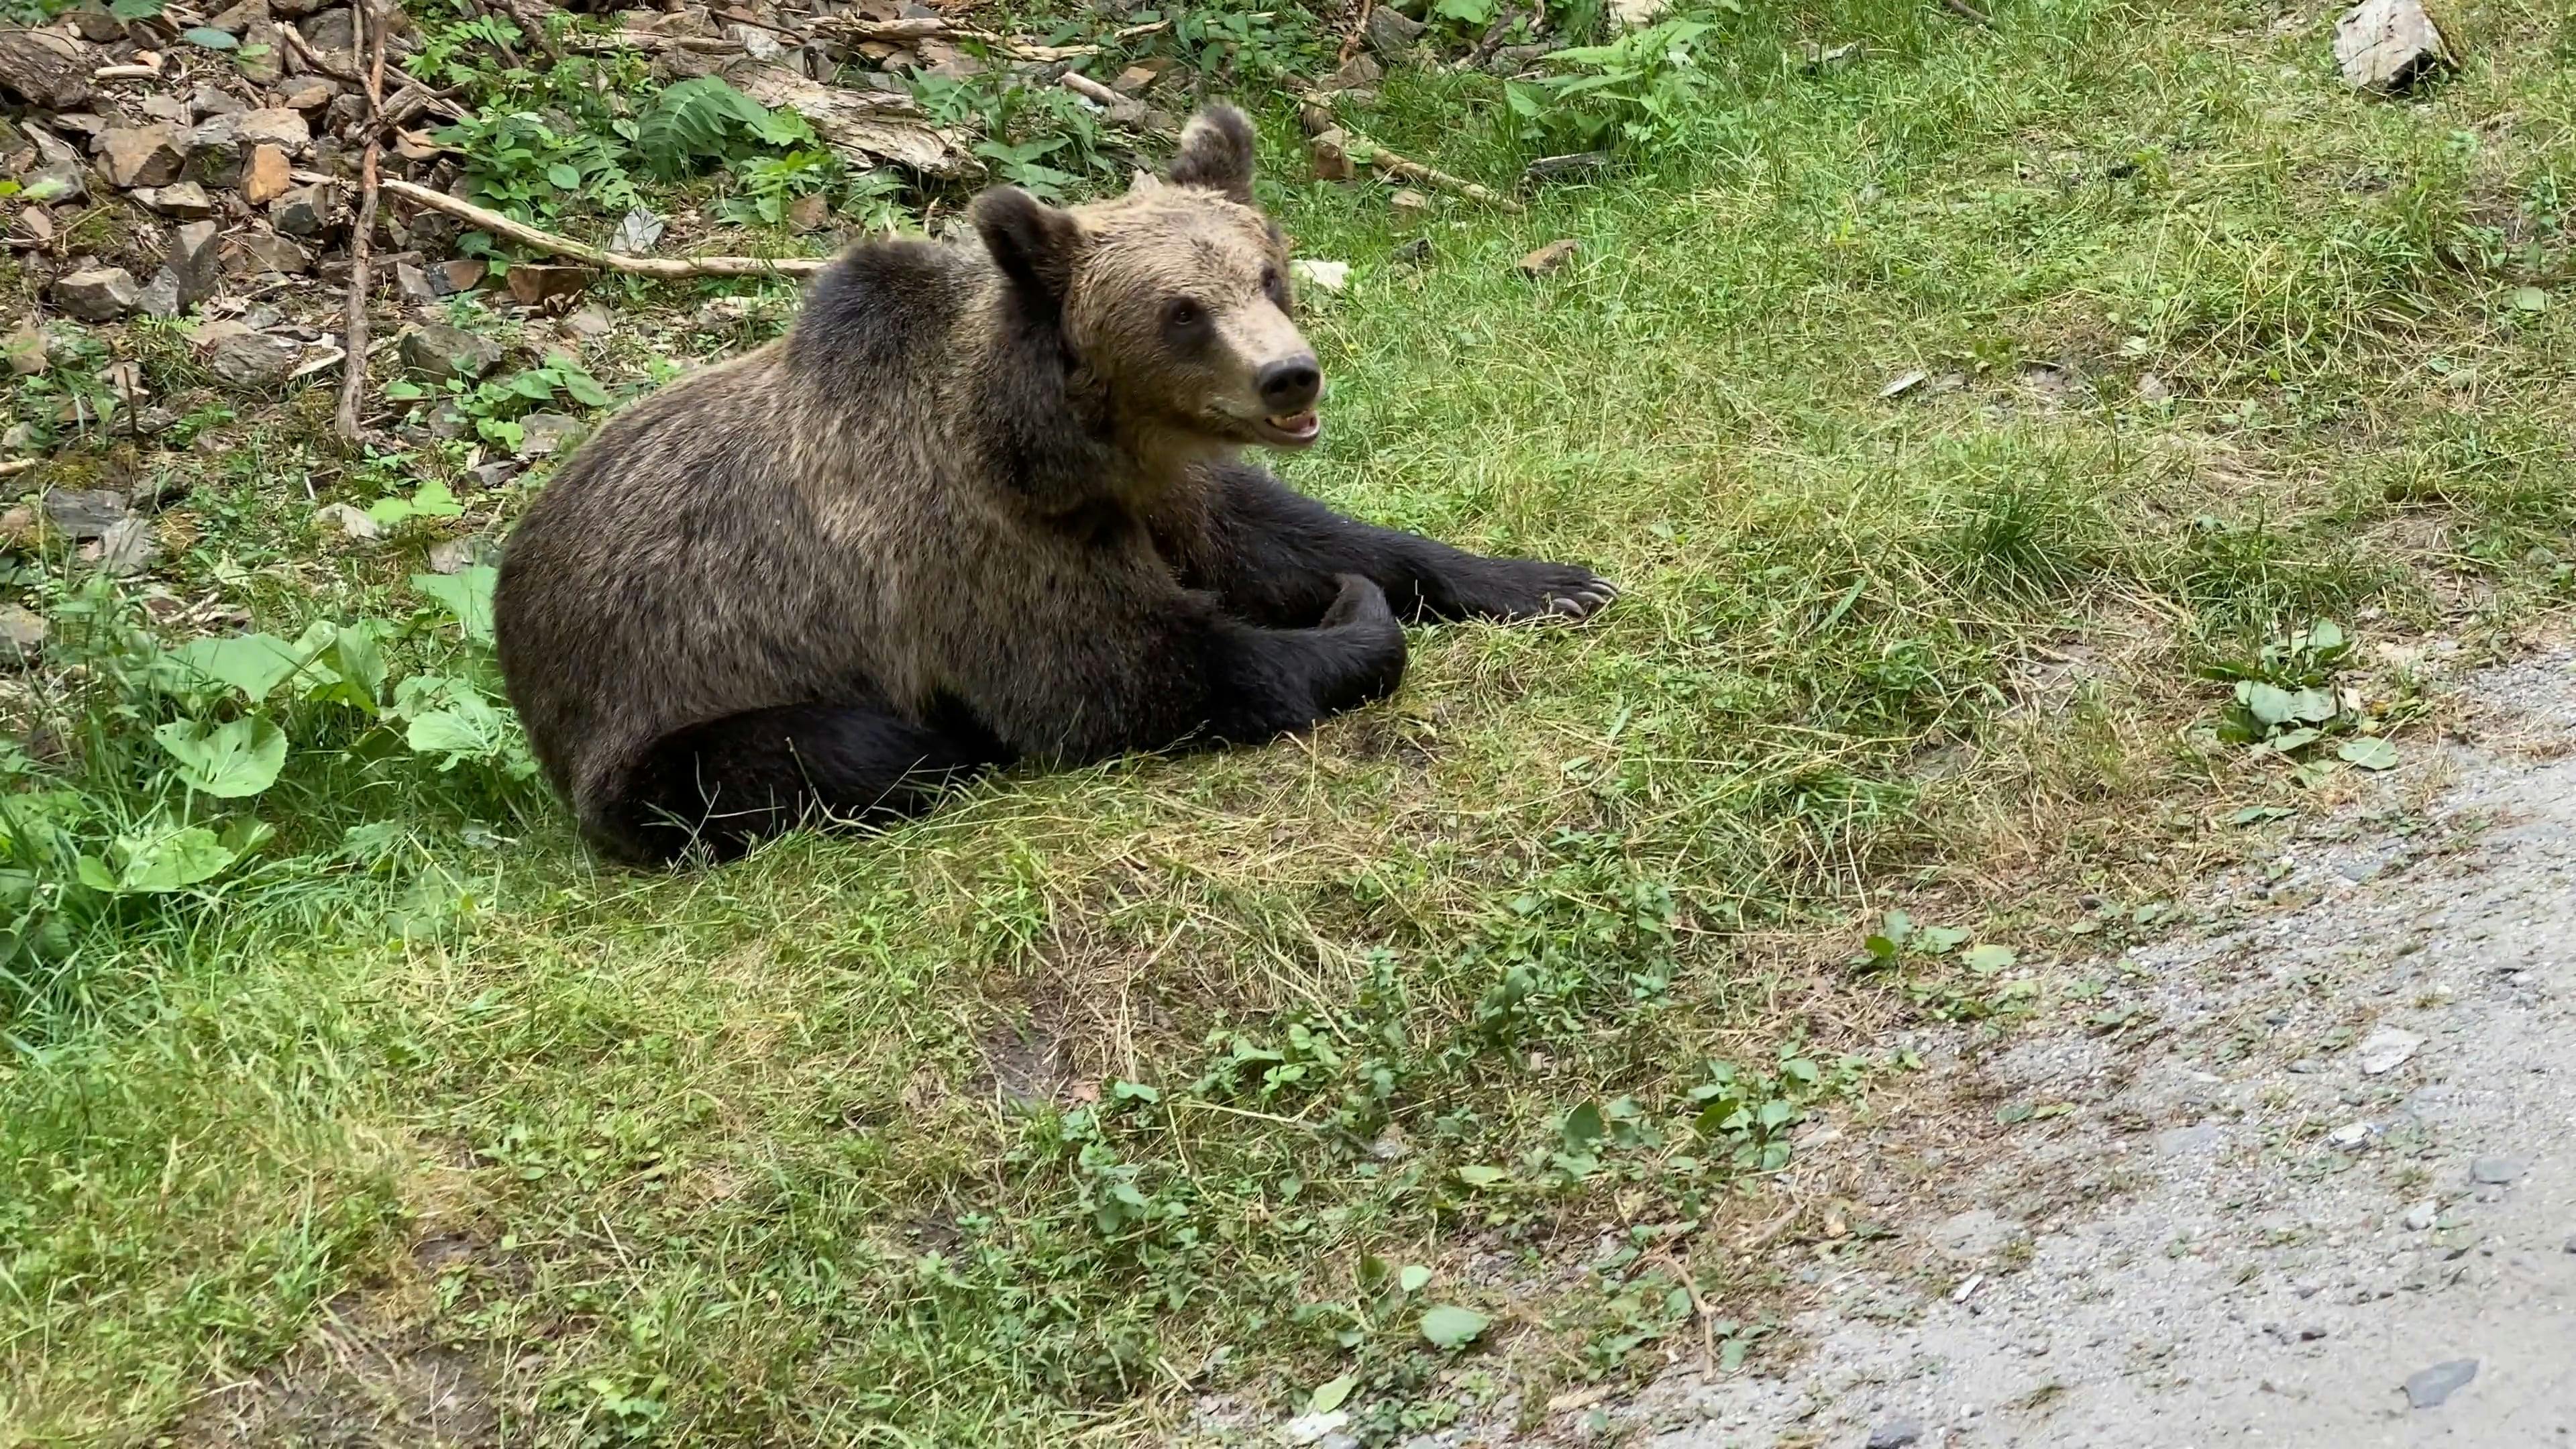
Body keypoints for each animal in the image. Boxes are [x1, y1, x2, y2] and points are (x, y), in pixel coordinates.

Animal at [492, 104, 1616, 866]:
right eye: (1181, 311)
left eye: (1266, 273)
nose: (1290, 375)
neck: (1063, 447)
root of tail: (517, 597)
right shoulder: (972, 548)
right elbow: (1122, 675)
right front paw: (1352, 621)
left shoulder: (1163, 489)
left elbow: (1287, 534)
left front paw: (1545, 581)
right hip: (663, 729)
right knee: (847, 749)